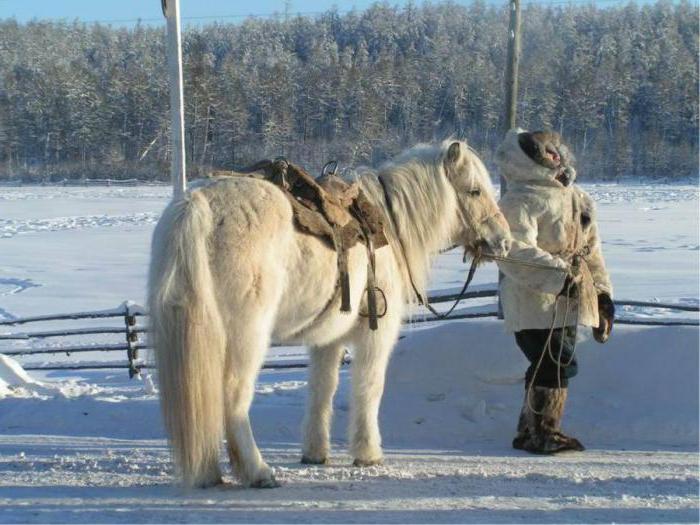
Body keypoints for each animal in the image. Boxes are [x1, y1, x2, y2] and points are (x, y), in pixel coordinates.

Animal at [149, 139, 508, 488]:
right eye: (475, 191)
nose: (503, 241)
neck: (388, 228)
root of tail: (196, 204)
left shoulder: (327, 339)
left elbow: (322, 390)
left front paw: (315, 453)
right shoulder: (375, 335)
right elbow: (368, 387)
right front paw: (368, 453)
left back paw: (208, 471)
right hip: (245, 336)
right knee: (232, 397)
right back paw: (257, 471)